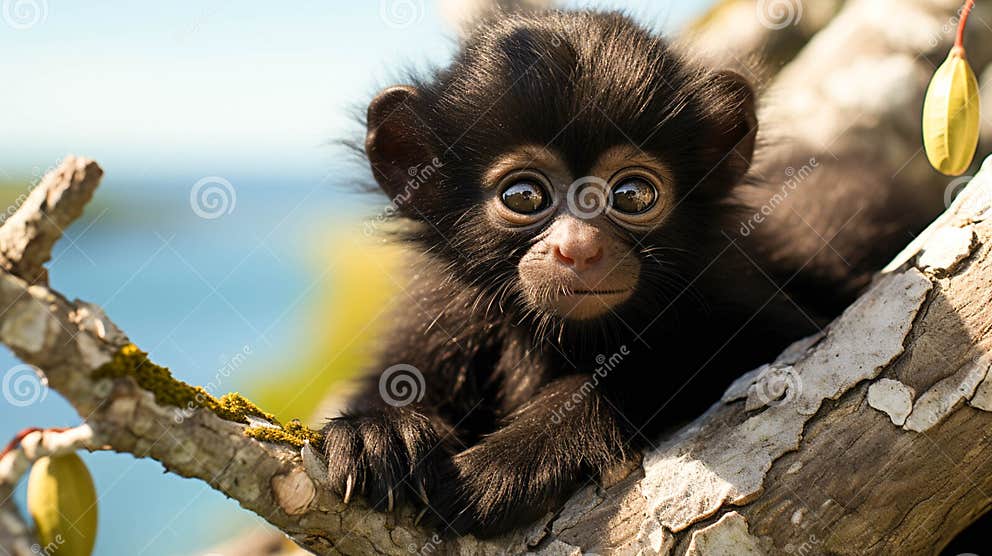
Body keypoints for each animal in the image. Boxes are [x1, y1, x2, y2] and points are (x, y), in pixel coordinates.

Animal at [320, 10, 936, 538]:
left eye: (632, 194)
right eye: (523, 196)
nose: (579, 248)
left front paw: (513, 459)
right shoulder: (442, 315)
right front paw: (381, 430)